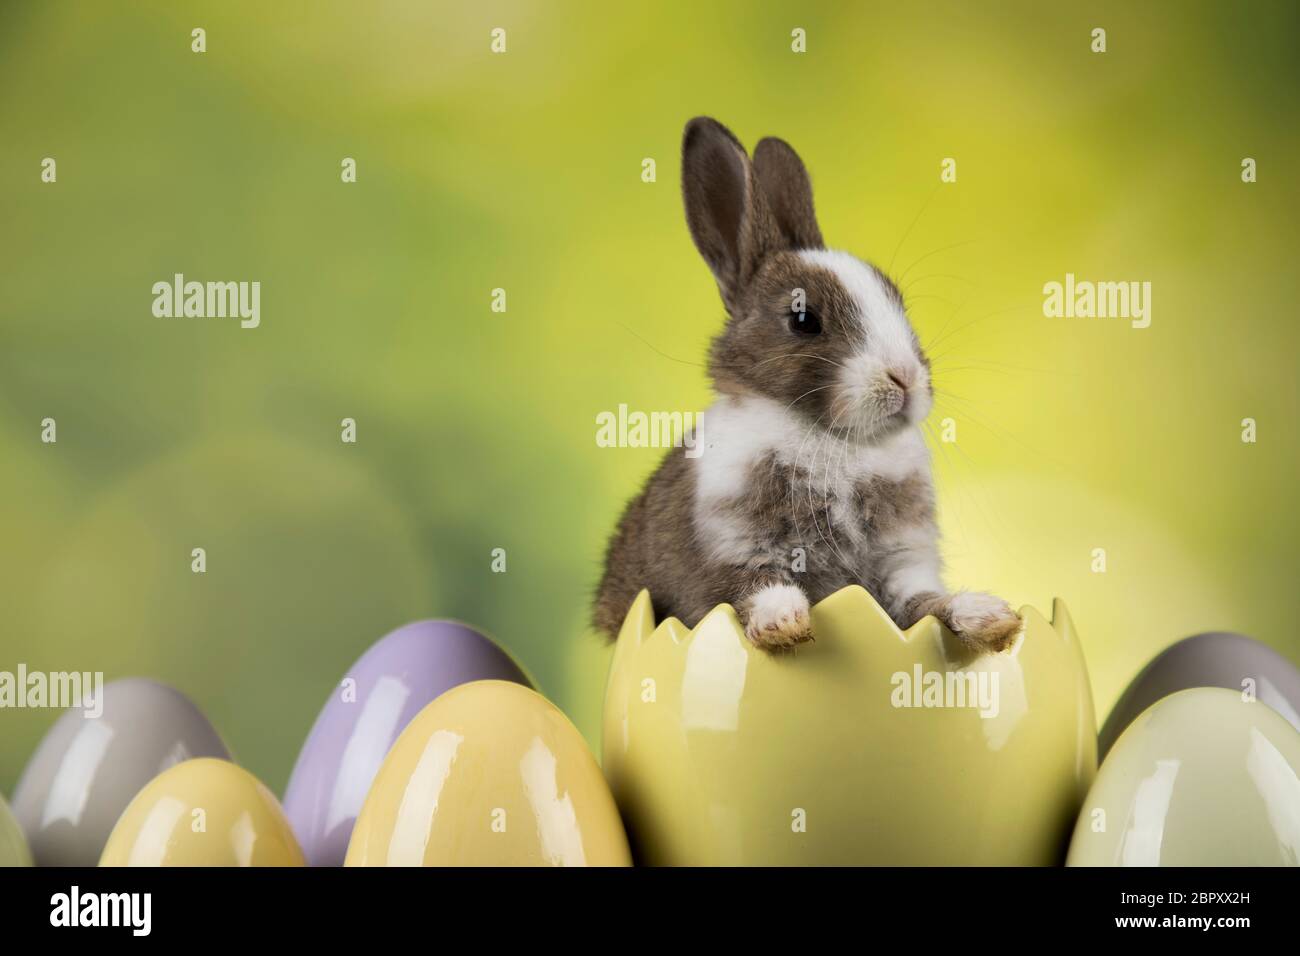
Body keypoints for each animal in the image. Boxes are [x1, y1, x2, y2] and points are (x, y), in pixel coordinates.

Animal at [593, 117, 1021, 652]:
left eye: (898, 303)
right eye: (802, 318)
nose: (904, 377)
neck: (838, 442)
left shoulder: (903, 562)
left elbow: (925, 603)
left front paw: (989, 616)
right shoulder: (727, 547)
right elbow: (750, 587)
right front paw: (783, 624)